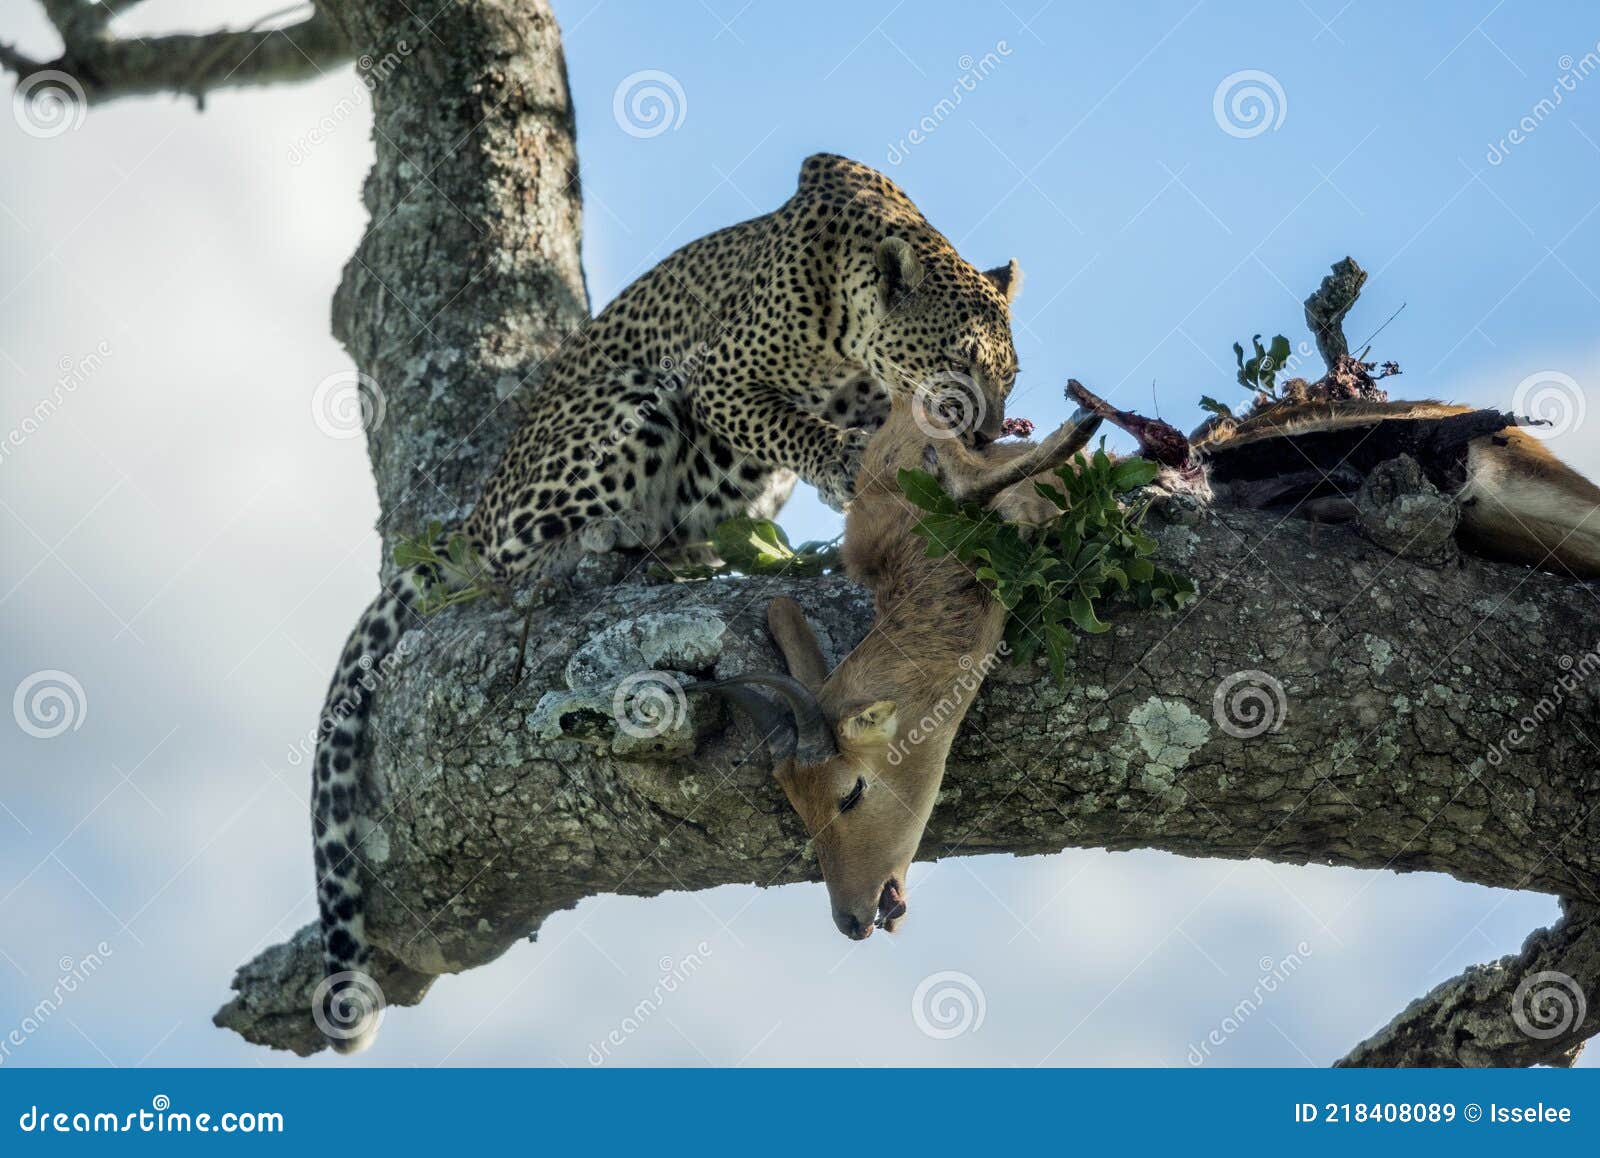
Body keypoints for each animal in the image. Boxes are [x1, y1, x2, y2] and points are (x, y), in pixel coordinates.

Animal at [307, 153, 1024, 1052]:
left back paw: (680, 559)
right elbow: (795, 427)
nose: (991, 434)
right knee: (513, 558)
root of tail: (472, 512)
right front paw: (847, 455)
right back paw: (581, 563)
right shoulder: (722, 380)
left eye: (1011, 376)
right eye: (958, 370)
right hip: (627, 410)